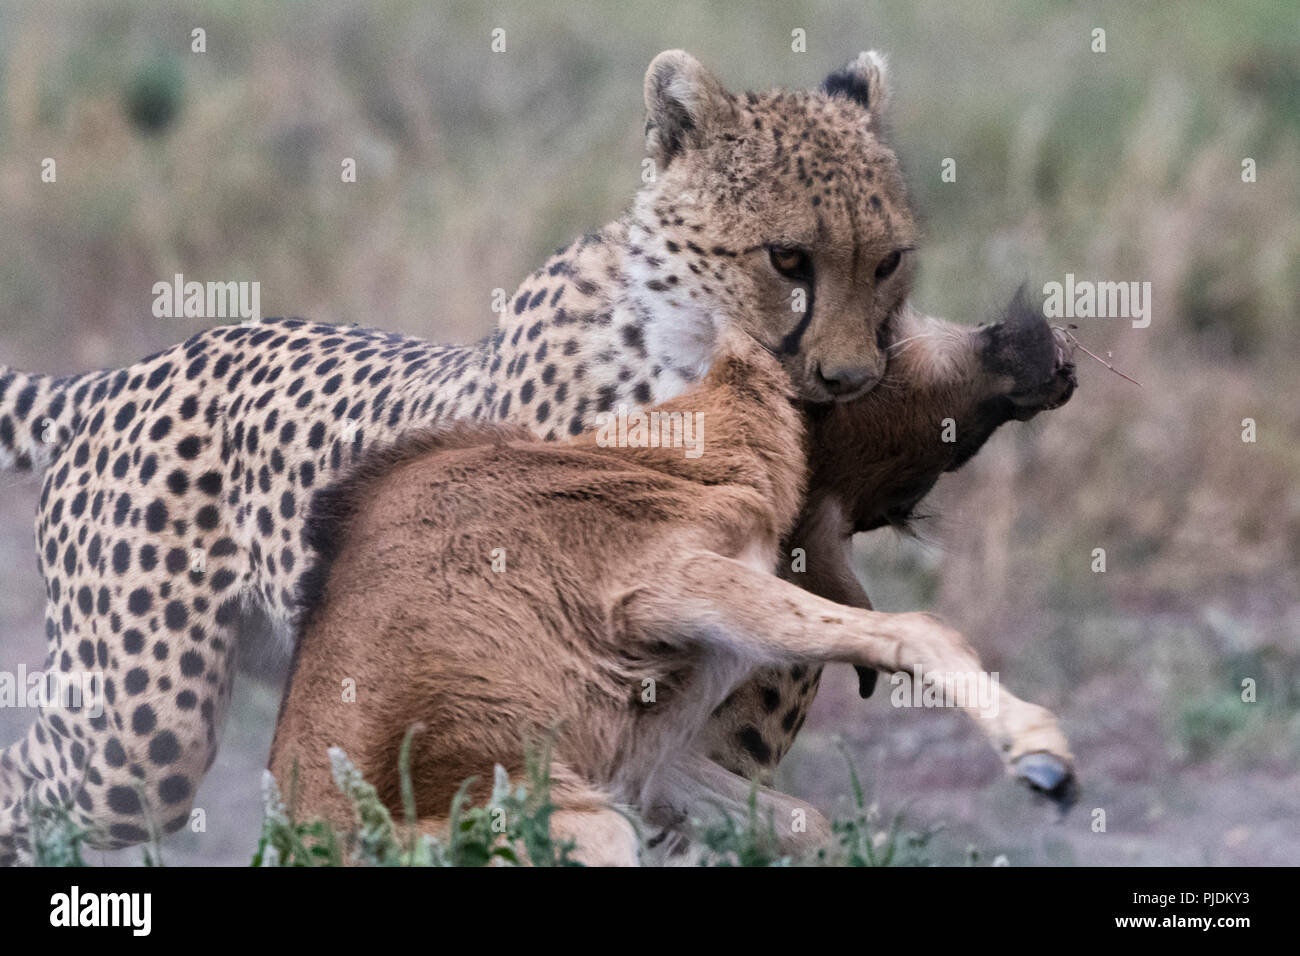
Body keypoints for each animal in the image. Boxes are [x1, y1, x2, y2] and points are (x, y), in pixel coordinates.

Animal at [0, 47, 925, 863]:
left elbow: (776, 816)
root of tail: (125, 373)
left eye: (888, 262)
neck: (689, 365)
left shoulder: (686, 734)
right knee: (31, 784)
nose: (852, 378)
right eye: (788, 258)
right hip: (141, 739)